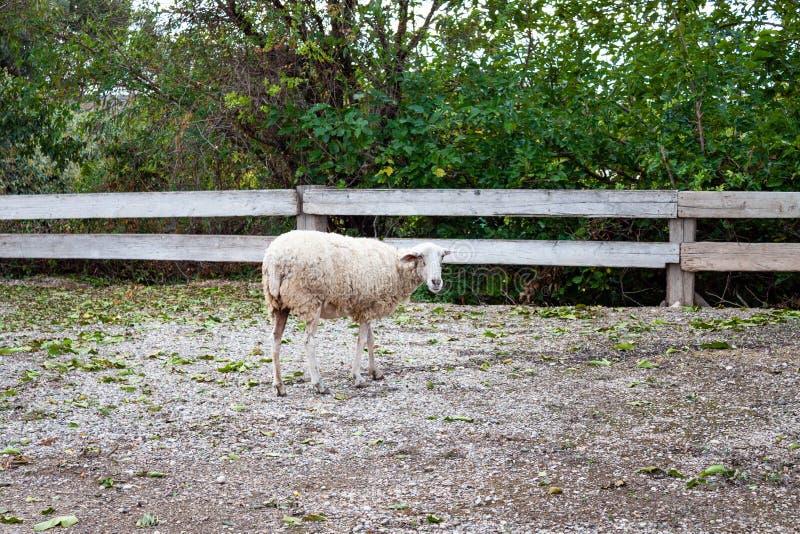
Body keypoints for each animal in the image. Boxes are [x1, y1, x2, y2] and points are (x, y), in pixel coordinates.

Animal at [262, 230, 451, 396]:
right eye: (421, 257)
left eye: (442, 257)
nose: (436, 282)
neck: (396, 268)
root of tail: (275, 260)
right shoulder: (367, 307)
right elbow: (362, 341)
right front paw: (358, 377)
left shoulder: (368, 307)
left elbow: (370, 339)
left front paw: (375, 372)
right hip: (310, 301)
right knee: (308, 342)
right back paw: (319, 384)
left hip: (278, 304)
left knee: (275, 340)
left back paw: (279, 386)